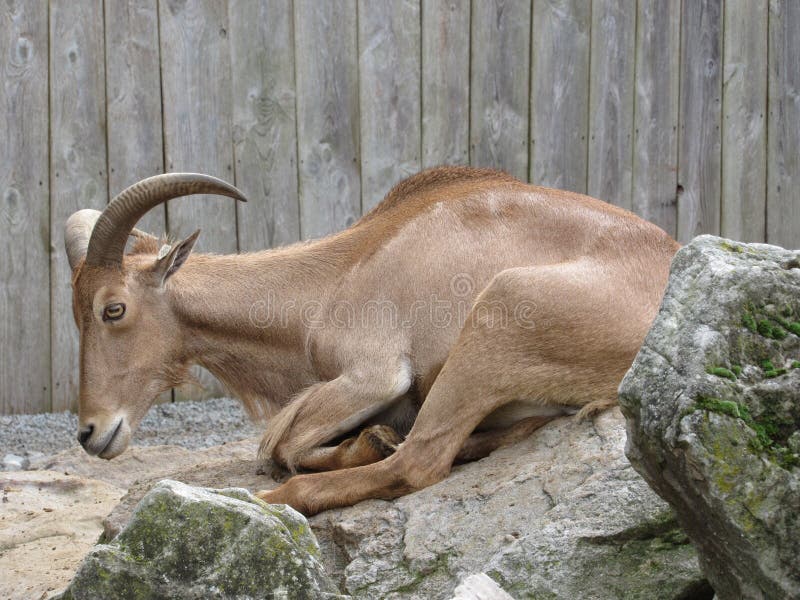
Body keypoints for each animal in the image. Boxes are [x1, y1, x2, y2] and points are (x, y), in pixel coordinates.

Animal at [66, 167, 679, 515]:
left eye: (113, 308)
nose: (91, 433)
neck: (331, 280)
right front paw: (372, 438)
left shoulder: (374, 374)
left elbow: (285, 446)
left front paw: (365, 443)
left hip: (498, 313)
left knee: (418, 464)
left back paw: (280, 497)